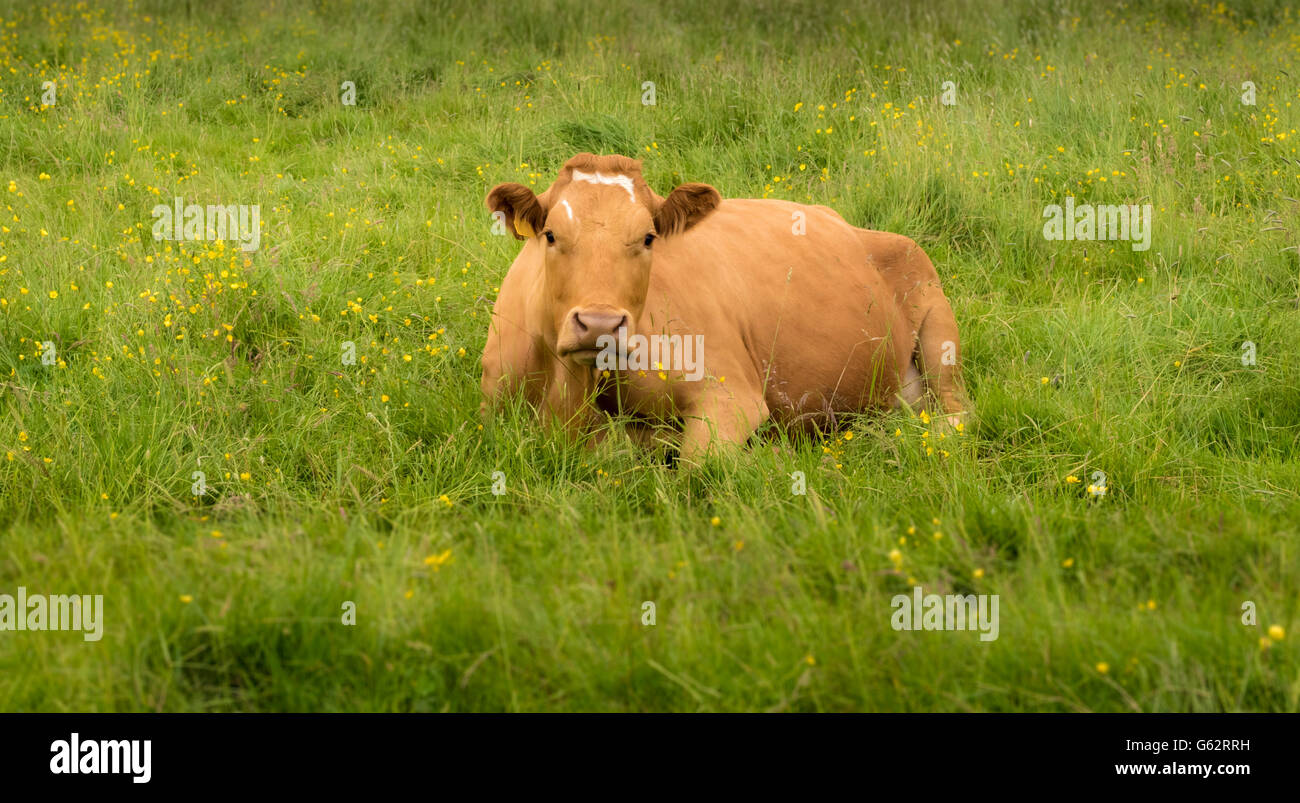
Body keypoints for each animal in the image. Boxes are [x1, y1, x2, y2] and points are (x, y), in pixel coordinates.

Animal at [480, 153, 966, 463]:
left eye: (649, 238)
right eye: (551, 235)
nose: (599, 323)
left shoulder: (730, 391)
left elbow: (701, 464)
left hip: (938, 329)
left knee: (955, 414)